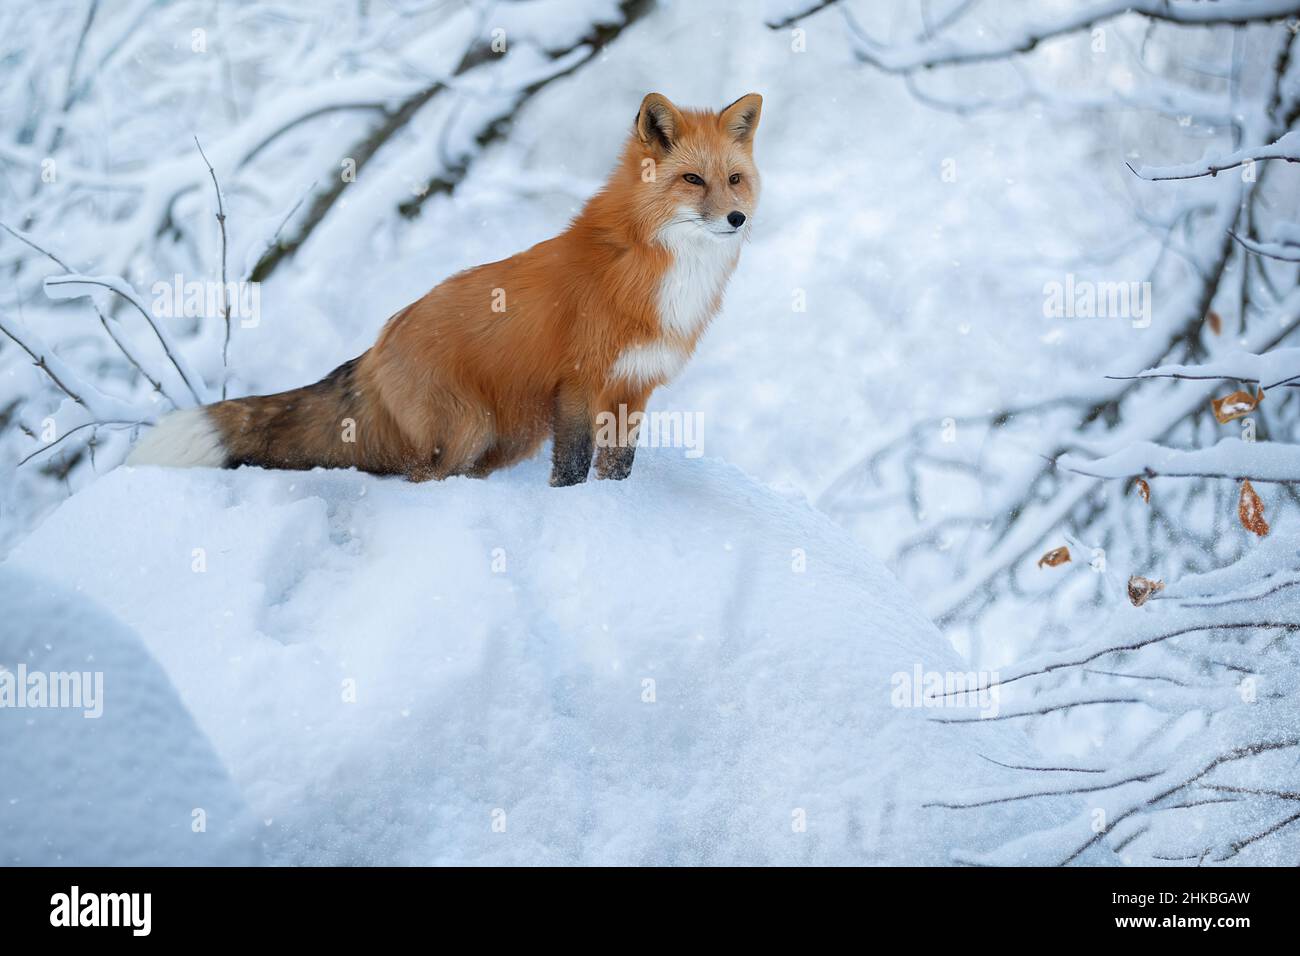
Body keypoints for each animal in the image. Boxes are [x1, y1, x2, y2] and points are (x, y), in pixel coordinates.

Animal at [127, 91, 762, 486]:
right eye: (692, 179)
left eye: (734, 180)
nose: (737, 219)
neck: (653, 265)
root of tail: (374, 348)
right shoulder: (581, 382)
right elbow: (572, 469)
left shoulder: (633, 388)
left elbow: (617, 469)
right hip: (469, 431)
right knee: (418, 477)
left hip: (507, 437)